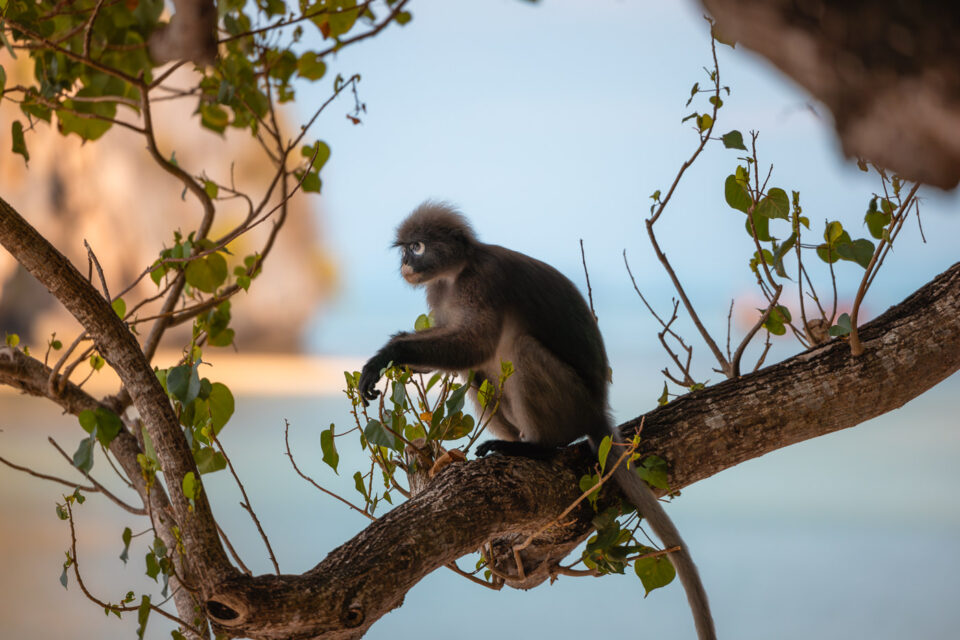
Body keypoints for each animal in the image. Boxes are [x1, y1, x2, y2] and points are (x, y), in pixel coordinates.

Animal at [359, 202, 716, 640]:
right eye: (406, 248)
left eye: (417, 246)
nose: (406, 263)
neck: (456, 273)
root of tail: (599, 410)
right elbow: (465, 349)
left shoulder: (482, 281)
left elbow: (474, 344)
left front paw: (387, 354)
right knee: (476, 372)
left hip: (571, 404)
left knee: (520, 349)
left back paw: (535, 448)